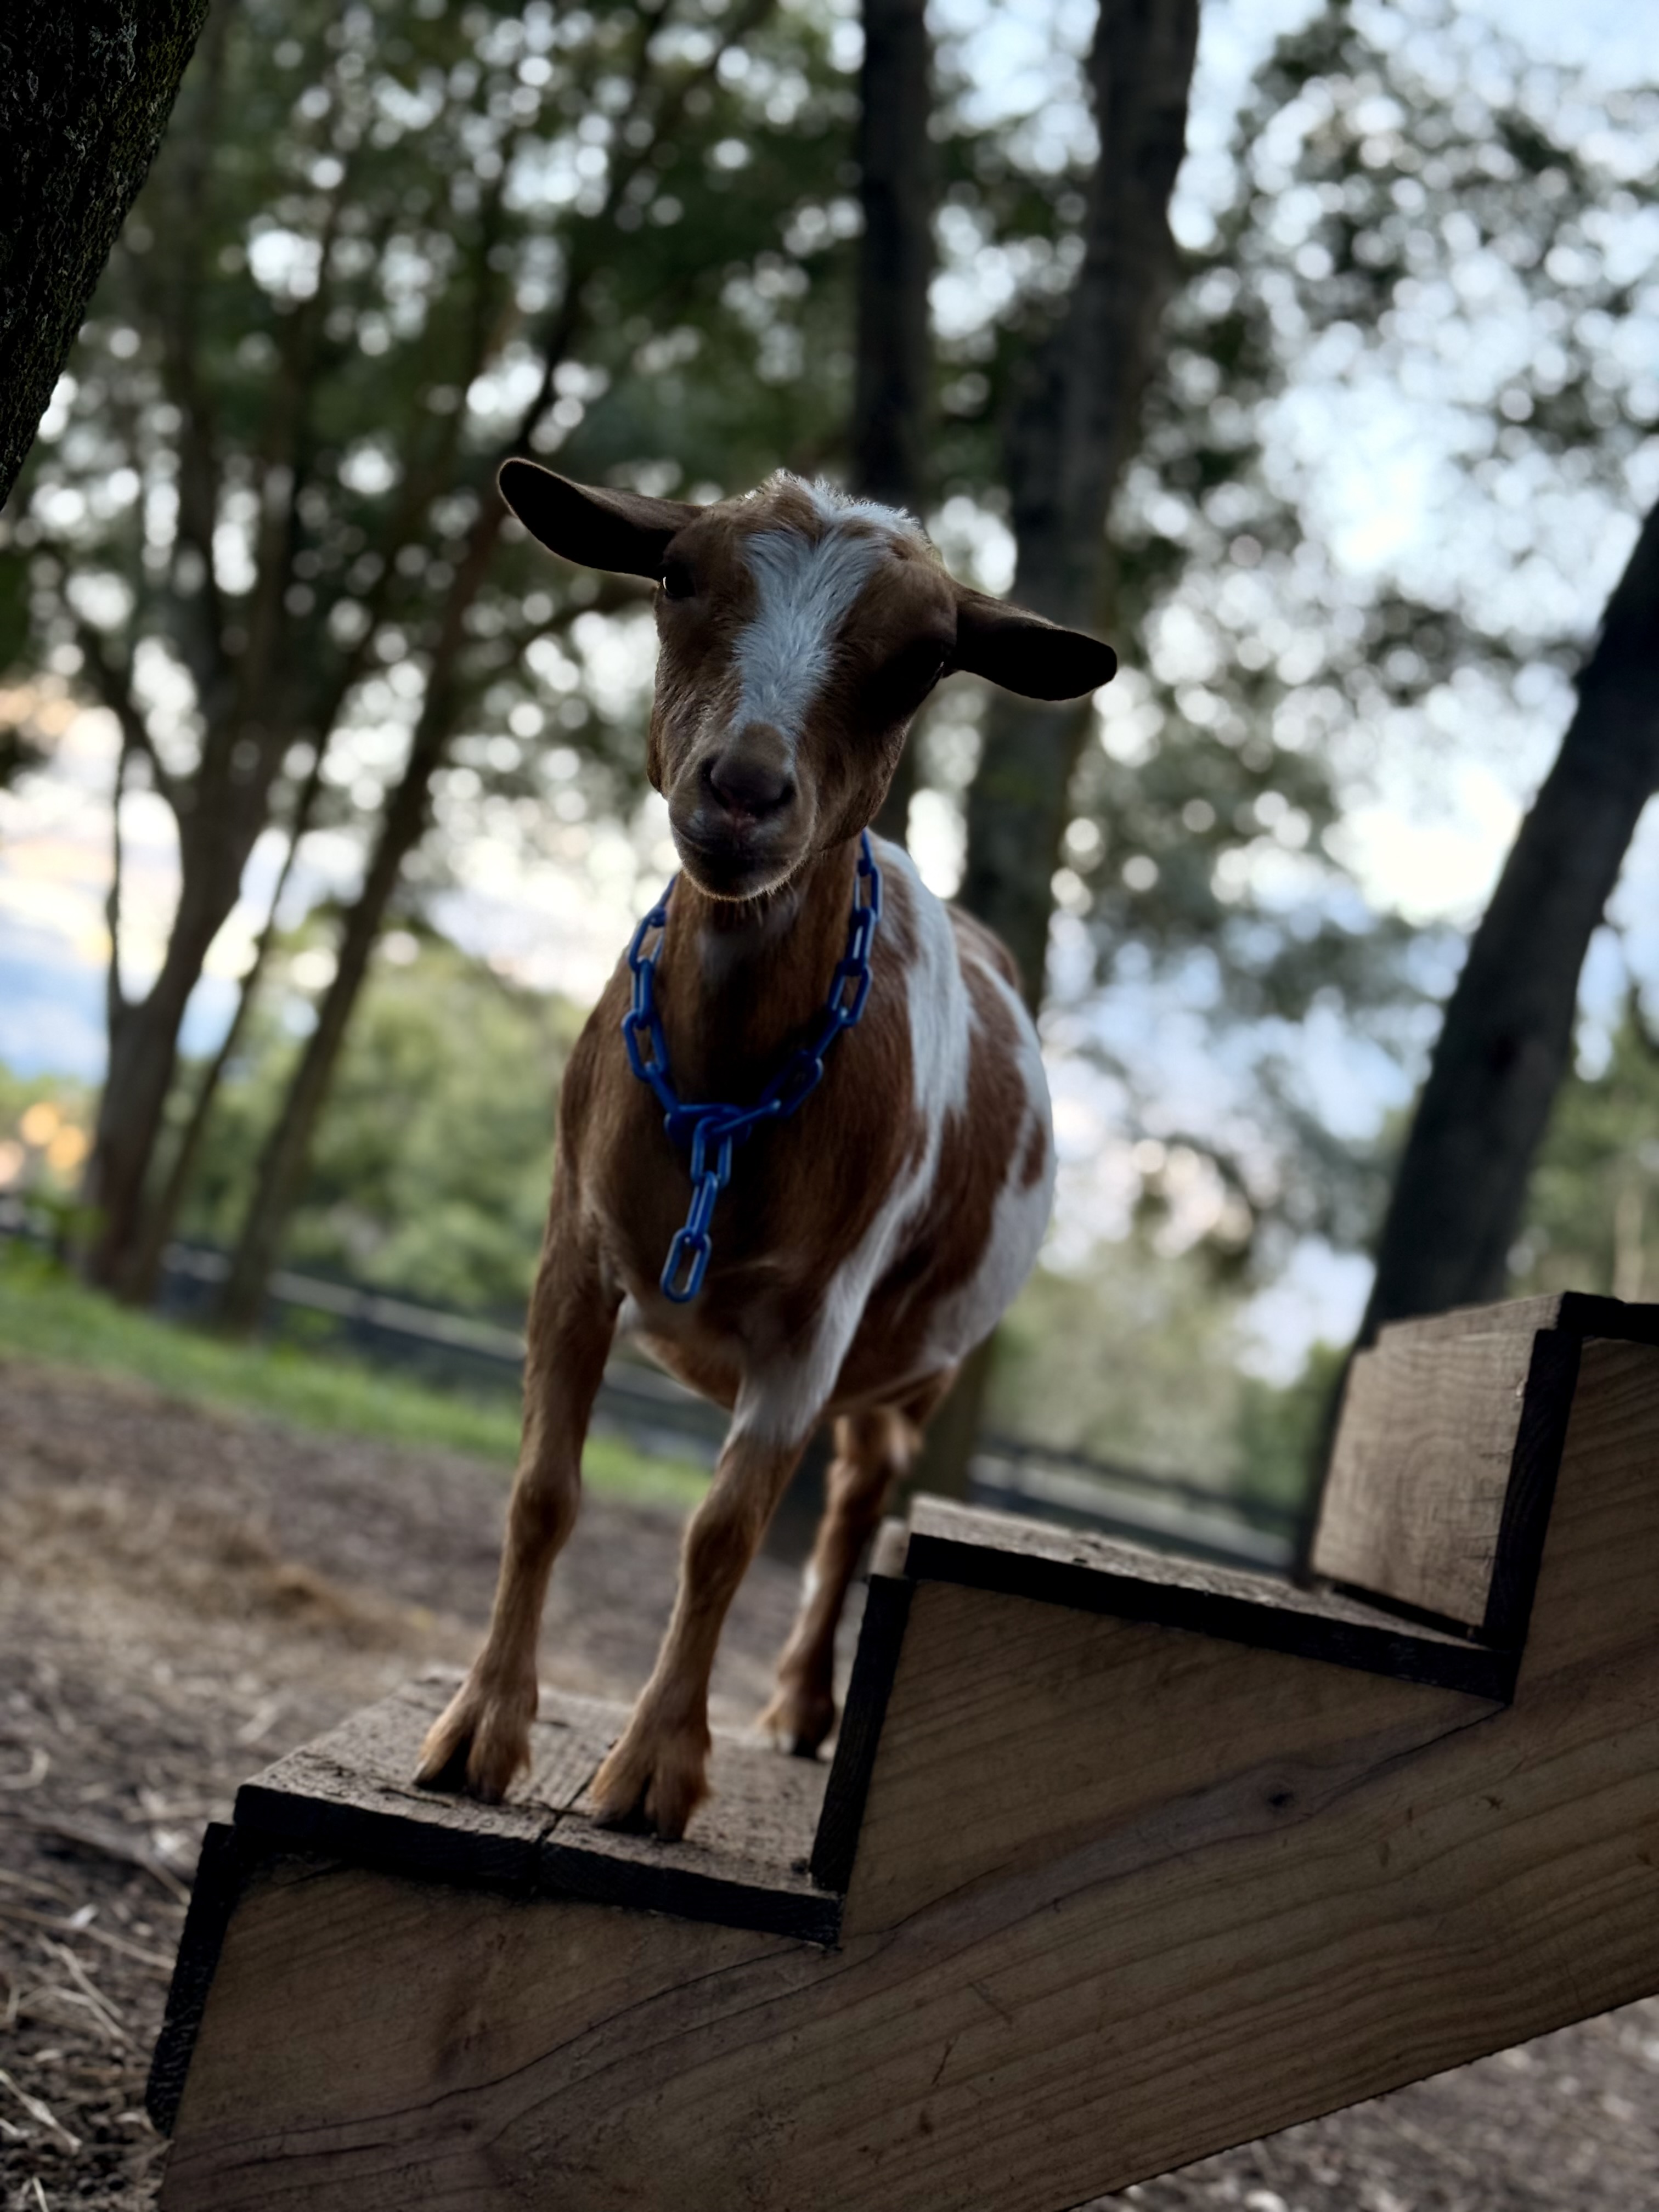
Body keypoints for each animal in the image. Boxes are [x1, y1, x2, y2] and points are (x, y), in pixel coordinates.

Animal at [416, 462, 1116, 1839]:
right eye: (679, 577)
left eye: (924, 661)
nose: (742, 791)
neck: (725, 1098)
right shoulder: (573, 1247)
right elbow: (542, 1490)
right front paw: (479, 1731)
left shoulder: (816, 1317)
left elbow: (725, 1531)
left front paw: (652, 1773)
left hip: (921, 1357)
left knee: (860, 1495)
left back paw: (799, 1706)